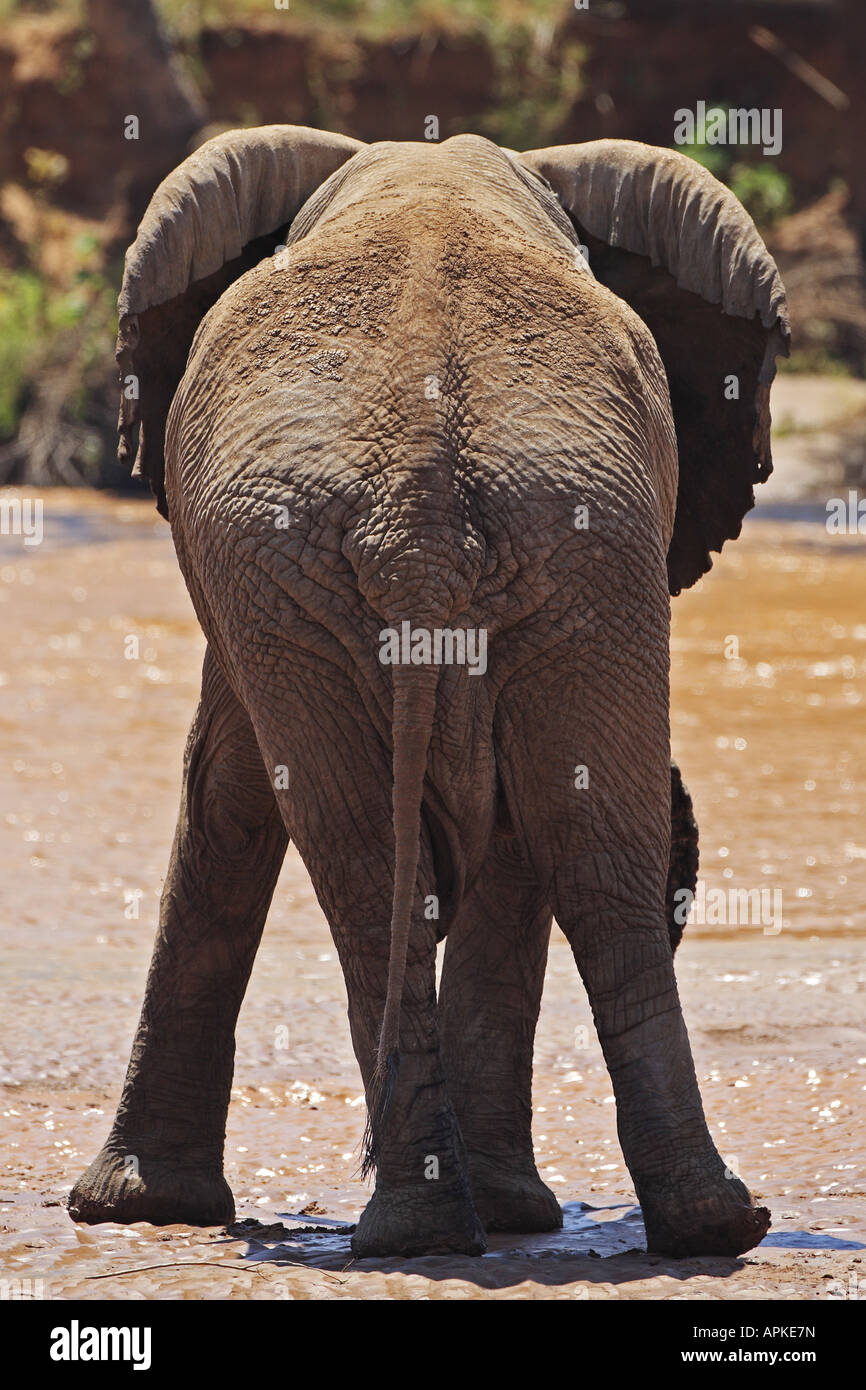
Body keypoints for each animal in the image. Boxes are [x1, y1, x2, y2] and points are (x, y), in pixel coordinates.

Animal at [68, 126, 789, 1259]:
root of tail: (417, 509)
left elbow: (228, 789)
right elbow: (232, 790)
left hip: (543, 548)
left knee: (455, 854)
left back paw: (466, 1227)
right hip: (472, 551)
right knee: (537, 850)